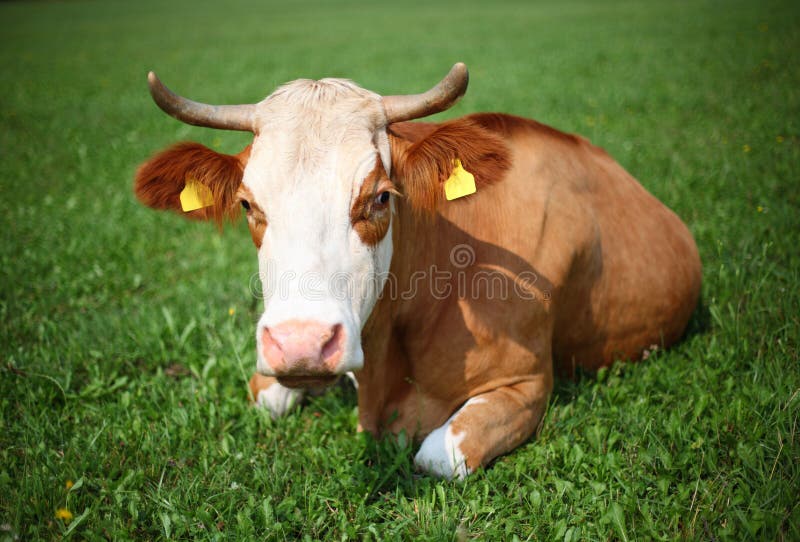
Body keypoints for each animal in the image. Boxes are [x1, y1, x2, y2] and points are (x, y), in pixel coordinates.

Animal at [134, 63, 701, 479]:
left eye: (381, 197)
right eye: (248, 204)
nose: (302, 344)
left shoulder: (527, 381)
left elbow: (435, 456)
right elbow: (267, 395)